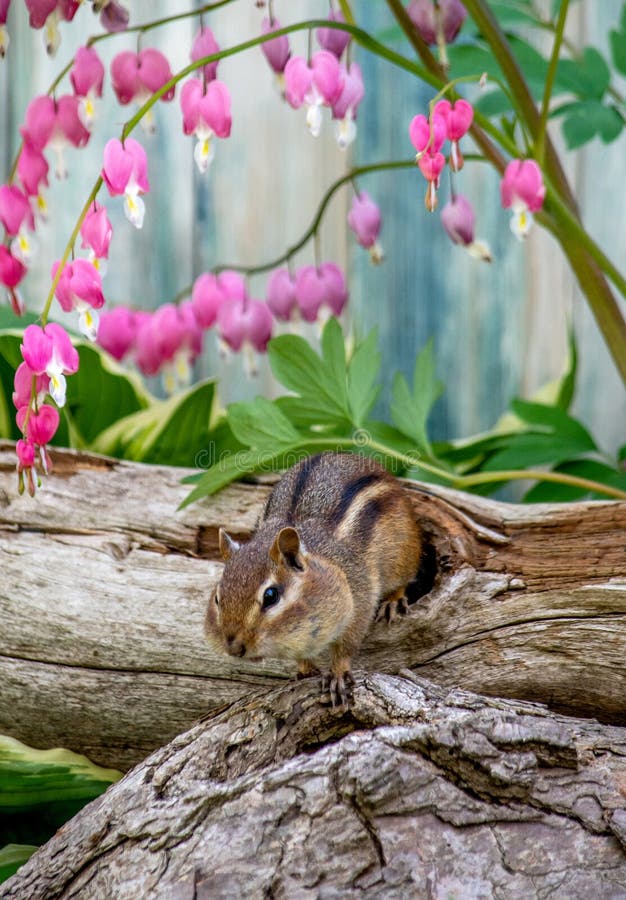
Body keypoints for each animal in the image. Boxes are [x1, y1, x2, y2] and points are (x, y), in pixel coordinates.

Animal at [204, 451, 422, 706]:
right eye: (217, 599)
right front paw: (304, 670)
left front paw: (337, 674)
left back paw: (393, 602)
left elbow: (346, 646)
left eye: (271, 596)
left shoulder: (359, 601)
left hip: (403, 554)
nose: (234, 647)